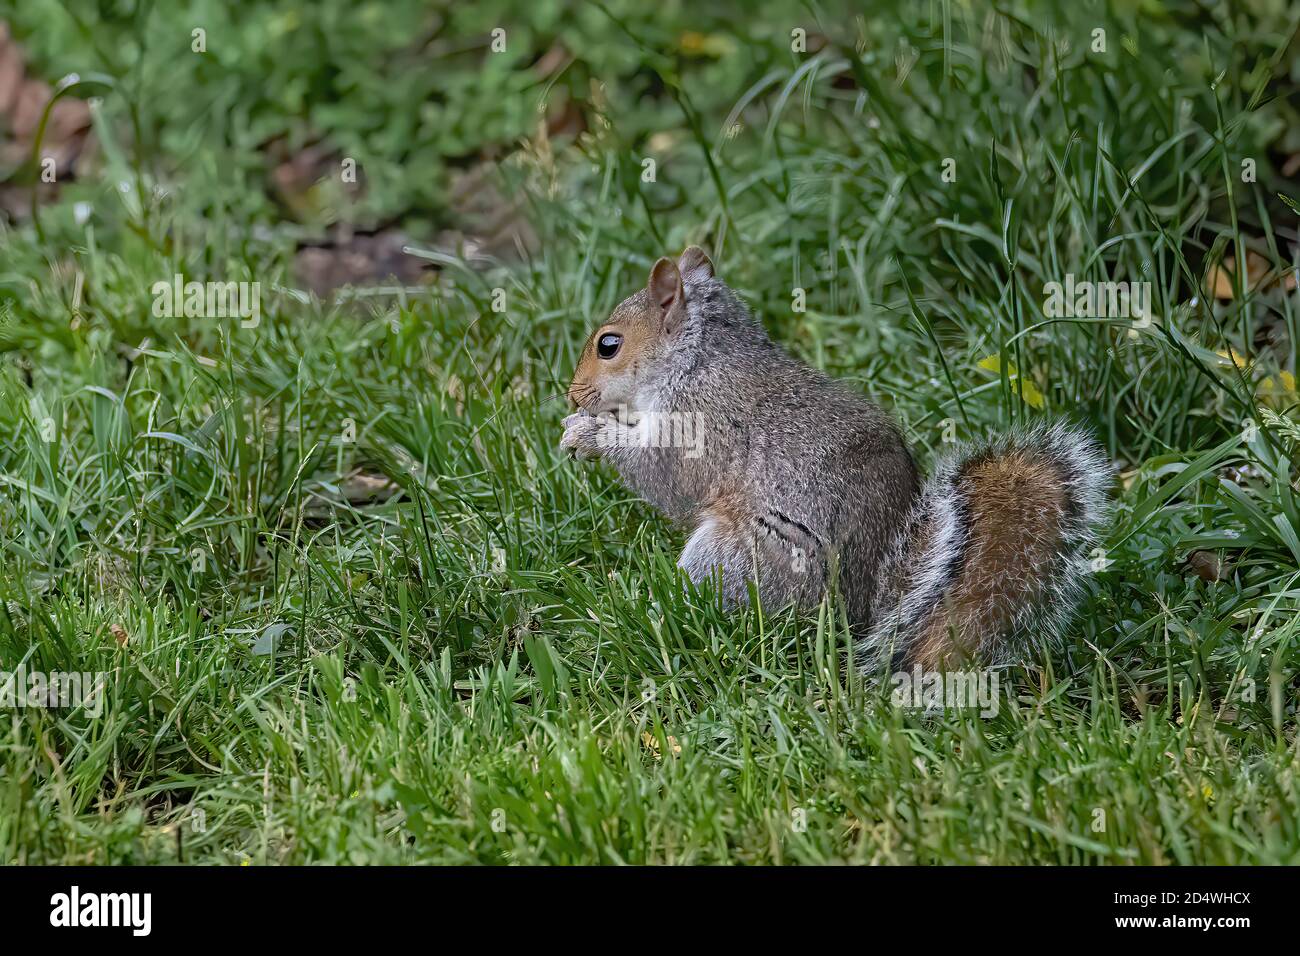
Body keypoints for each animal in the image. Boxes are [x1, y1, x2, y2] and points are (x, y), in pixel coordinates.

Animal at [561, 246, 1111, 671]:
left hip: (739, 558)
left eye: (609, 345)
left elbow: (664, 475)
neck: (697, 359)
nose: (572, 394)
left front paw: (587, 434)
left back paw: (651, 610)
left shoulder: (699, 422)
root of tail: (866, 605)